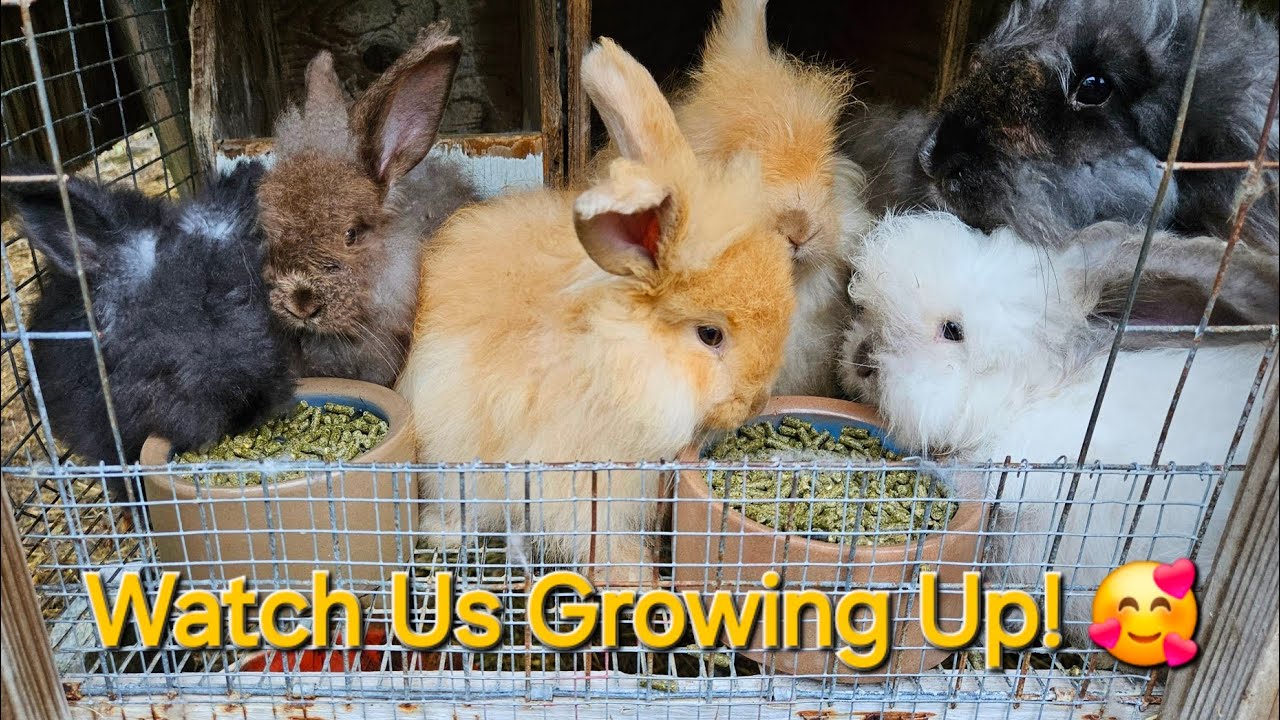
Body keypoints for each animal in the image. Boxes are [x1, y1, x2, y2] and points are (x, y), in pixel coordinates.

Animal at [396, 38, 796, 586]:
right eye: (710, 335)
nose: (756, 402)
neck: (614, 354)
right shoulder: (580, 474)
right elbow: (596, 533)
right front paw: (638, 576)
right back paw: (445, 536)